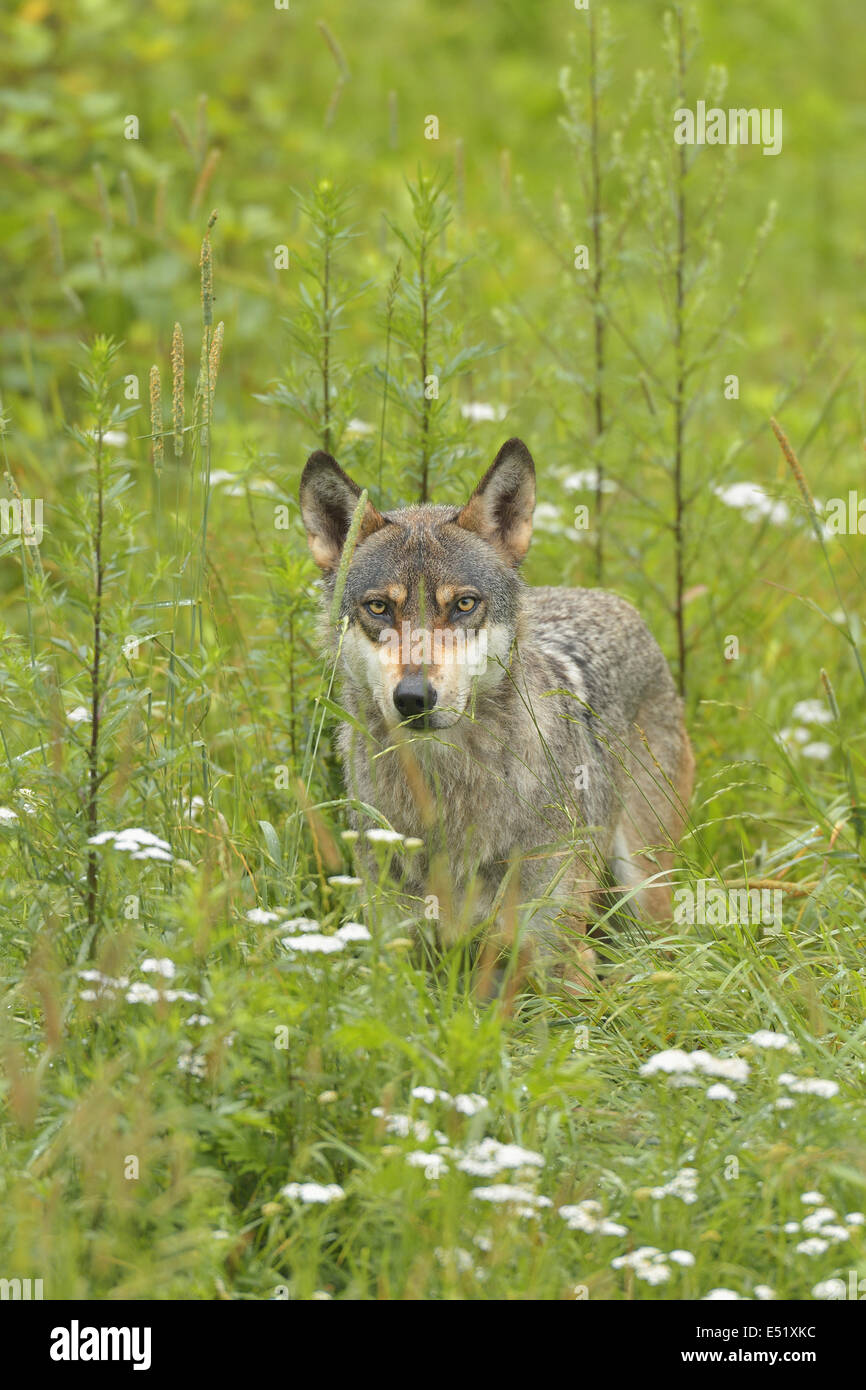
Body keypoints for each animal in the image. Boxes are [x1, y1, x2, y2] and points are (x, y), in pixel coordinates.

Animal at [299, 438, 694, 991]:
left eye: (464, 605)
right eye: (378, 608)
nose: (414, 698)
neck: (448, 799)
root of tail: (611, 599)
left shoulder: (558, 956)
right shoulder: (396, 949)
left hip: (644, 889)